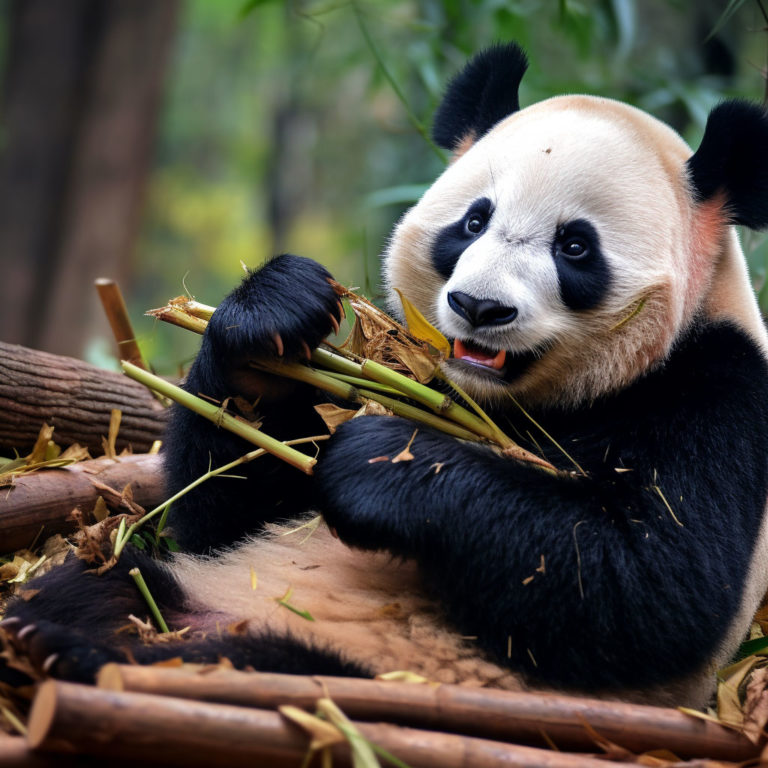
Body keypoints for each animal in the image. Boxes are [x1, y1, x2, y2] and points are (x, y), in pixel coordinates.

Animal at [4, 42, 768, 708]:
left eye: (575, 247)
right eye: (473, 222)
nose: (479, 307)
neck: (510, 403)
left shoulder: (719, 388)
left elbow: (651, 581)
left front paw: (379, 465)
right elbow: (220, 510)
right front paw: (272, 317)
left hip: (376, 669)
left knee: (265, 670)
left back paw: (91, 655)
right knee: (107, 579)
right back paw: (55, 628)